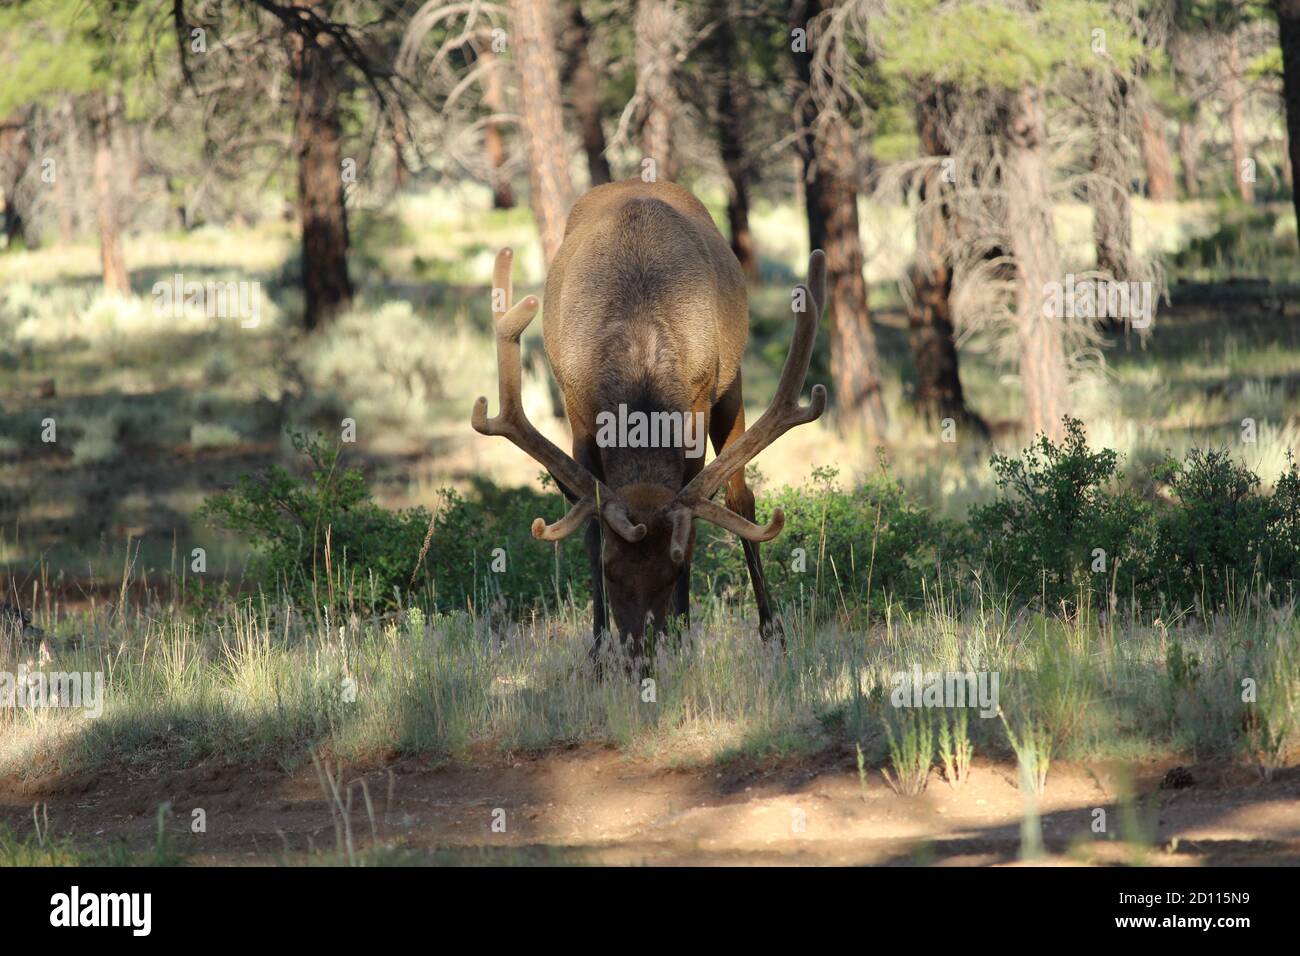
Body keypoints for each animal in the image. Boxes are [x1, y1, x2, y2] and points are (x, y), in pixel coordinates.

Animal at [472, 179, 827, 664]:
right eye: (609, 570)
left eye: (672, 568)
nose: (639, 653)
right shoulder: (578, 409)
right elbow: (589, 524)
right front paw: (596, 652)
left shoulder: (698, 402)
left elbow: (697, 518)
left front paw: (681, 636)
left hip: (732, 383)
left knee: (740, 500)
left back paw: (771, 632)